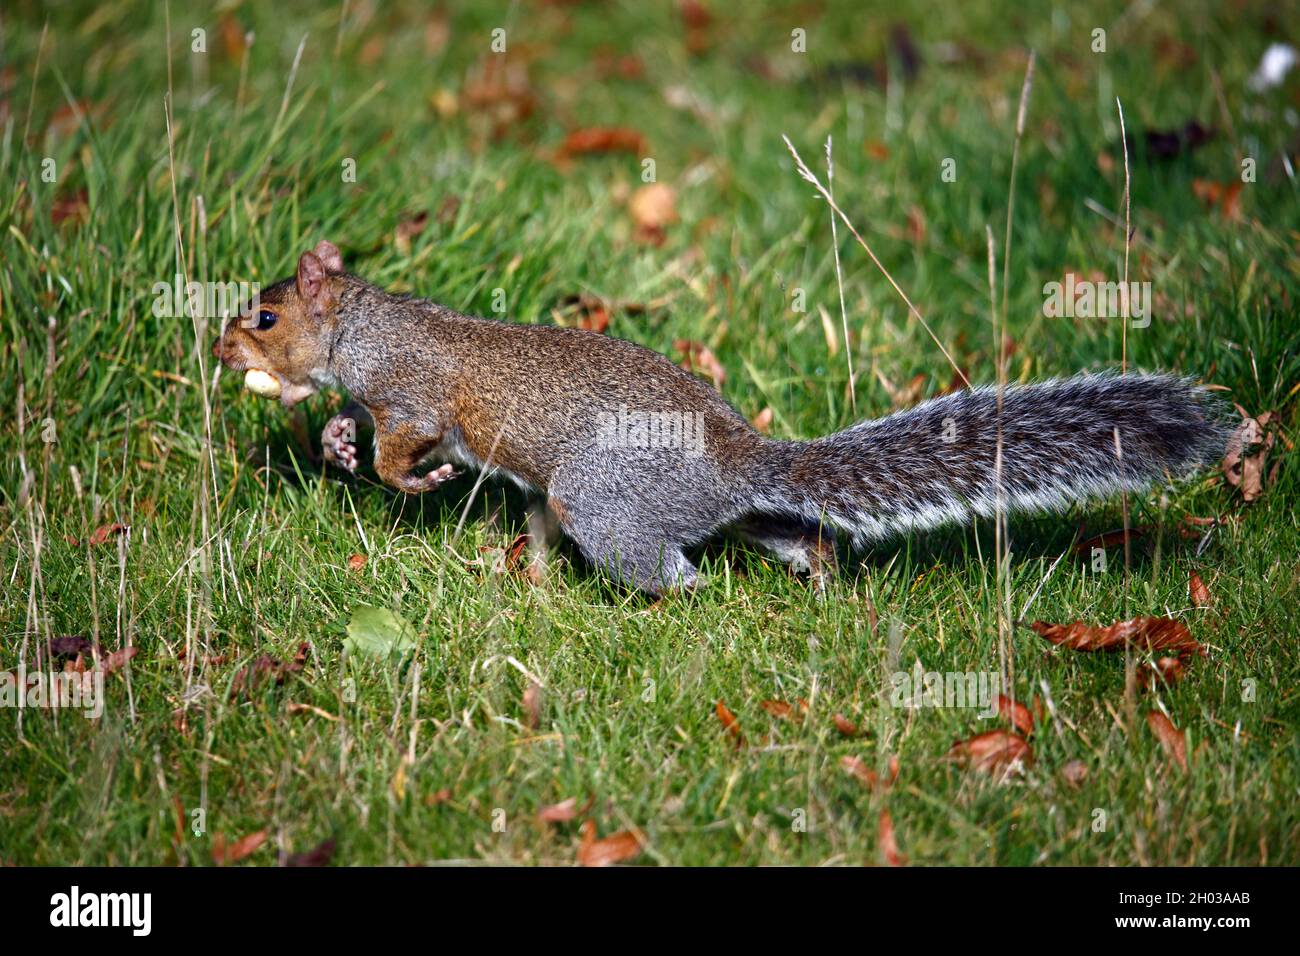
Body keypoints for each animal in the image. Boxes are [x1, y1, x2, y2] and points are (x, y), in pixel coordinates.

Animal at [213, 240, 1231, 594]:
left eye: (264, 317)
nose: (222, 351)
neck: (362, 325)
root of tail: (737, 461)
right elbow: (354, 431)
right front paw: (334, 441)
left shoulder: (413, 391)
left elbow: (407, 447)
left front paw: (409, 476)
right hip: (747, 516)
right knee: (794, 533)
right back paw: (819, 580)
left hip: (606, 500)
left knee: (672, 568)